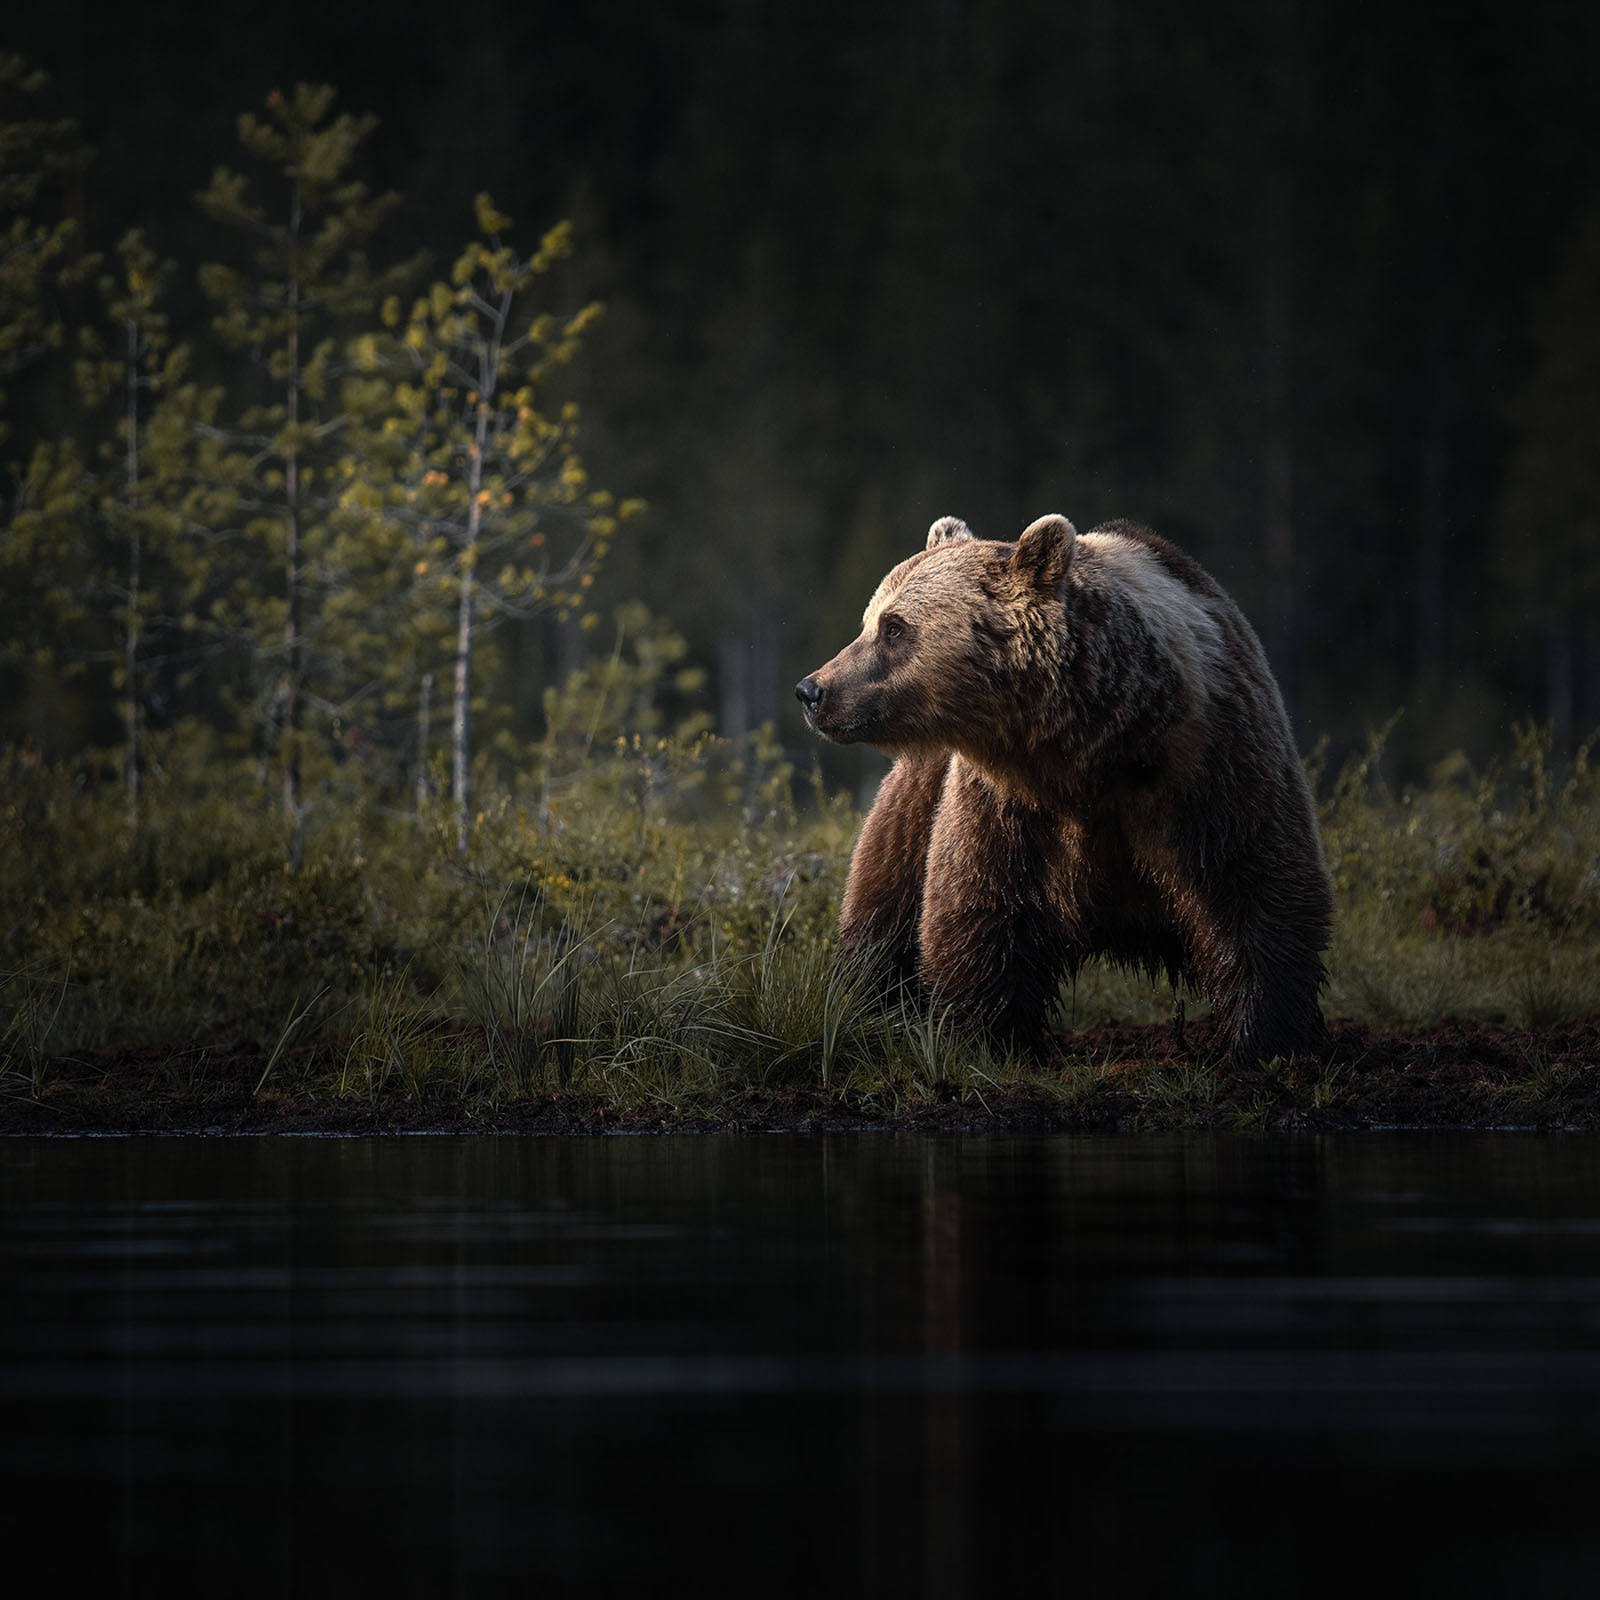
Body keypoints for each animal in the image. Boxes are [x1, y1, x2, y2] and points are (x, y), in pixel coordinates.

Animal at [794, 512, 1332, 1063]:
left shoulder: (1211, 767)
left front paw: (1262, 1040)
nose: (813, 690)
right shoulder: (1008, 804)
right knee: (883, 915)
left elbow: (1254, 889)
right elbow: (980, 907)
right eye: (869, 620)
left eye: (894, 627)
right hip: (916, 801)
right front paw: (987, 1040)